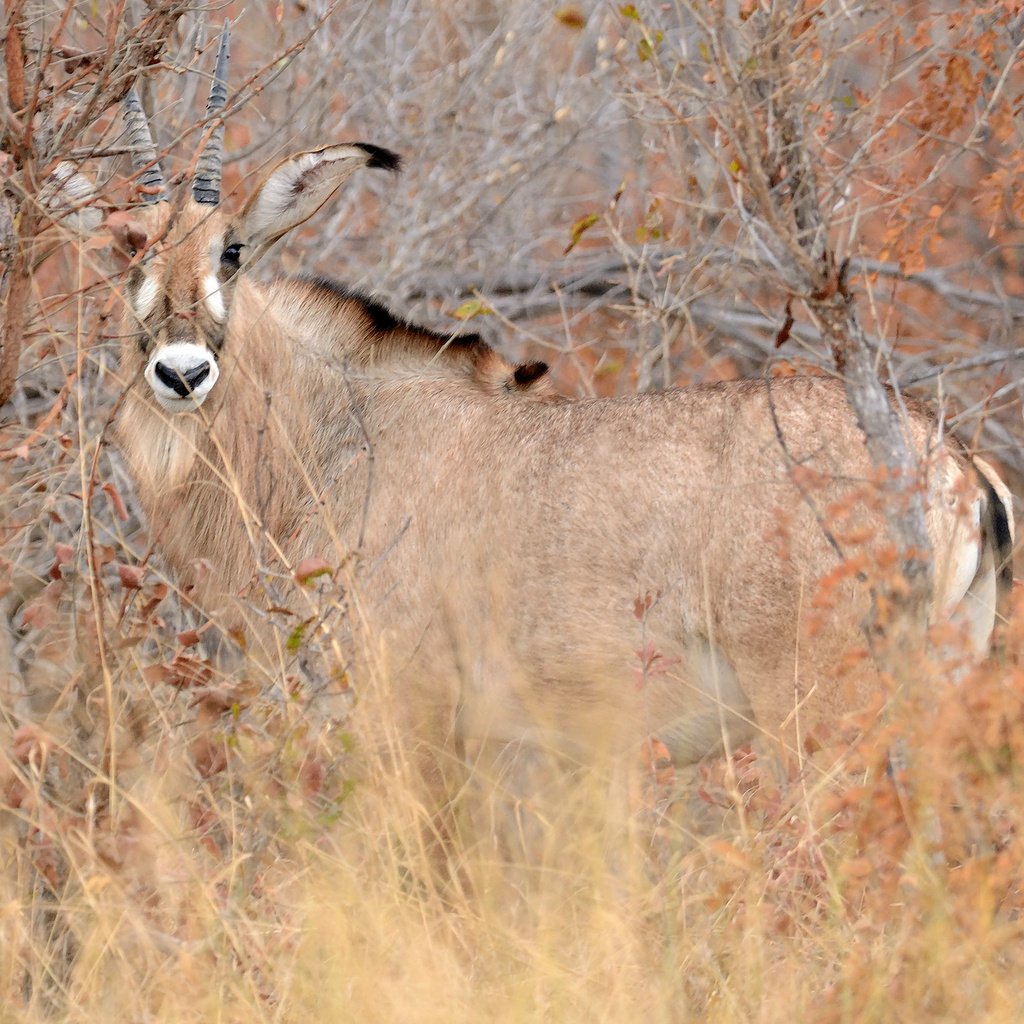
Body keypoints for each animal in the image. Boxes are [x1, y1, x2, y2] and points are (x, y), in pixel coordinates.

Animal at [105, 25, 1012, 804]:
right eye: (126, 248)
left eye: (231, 250)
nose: (182, 372)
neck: (337, 434)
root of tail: (955, 467)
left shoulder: (414, 719)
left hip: (821, 710)